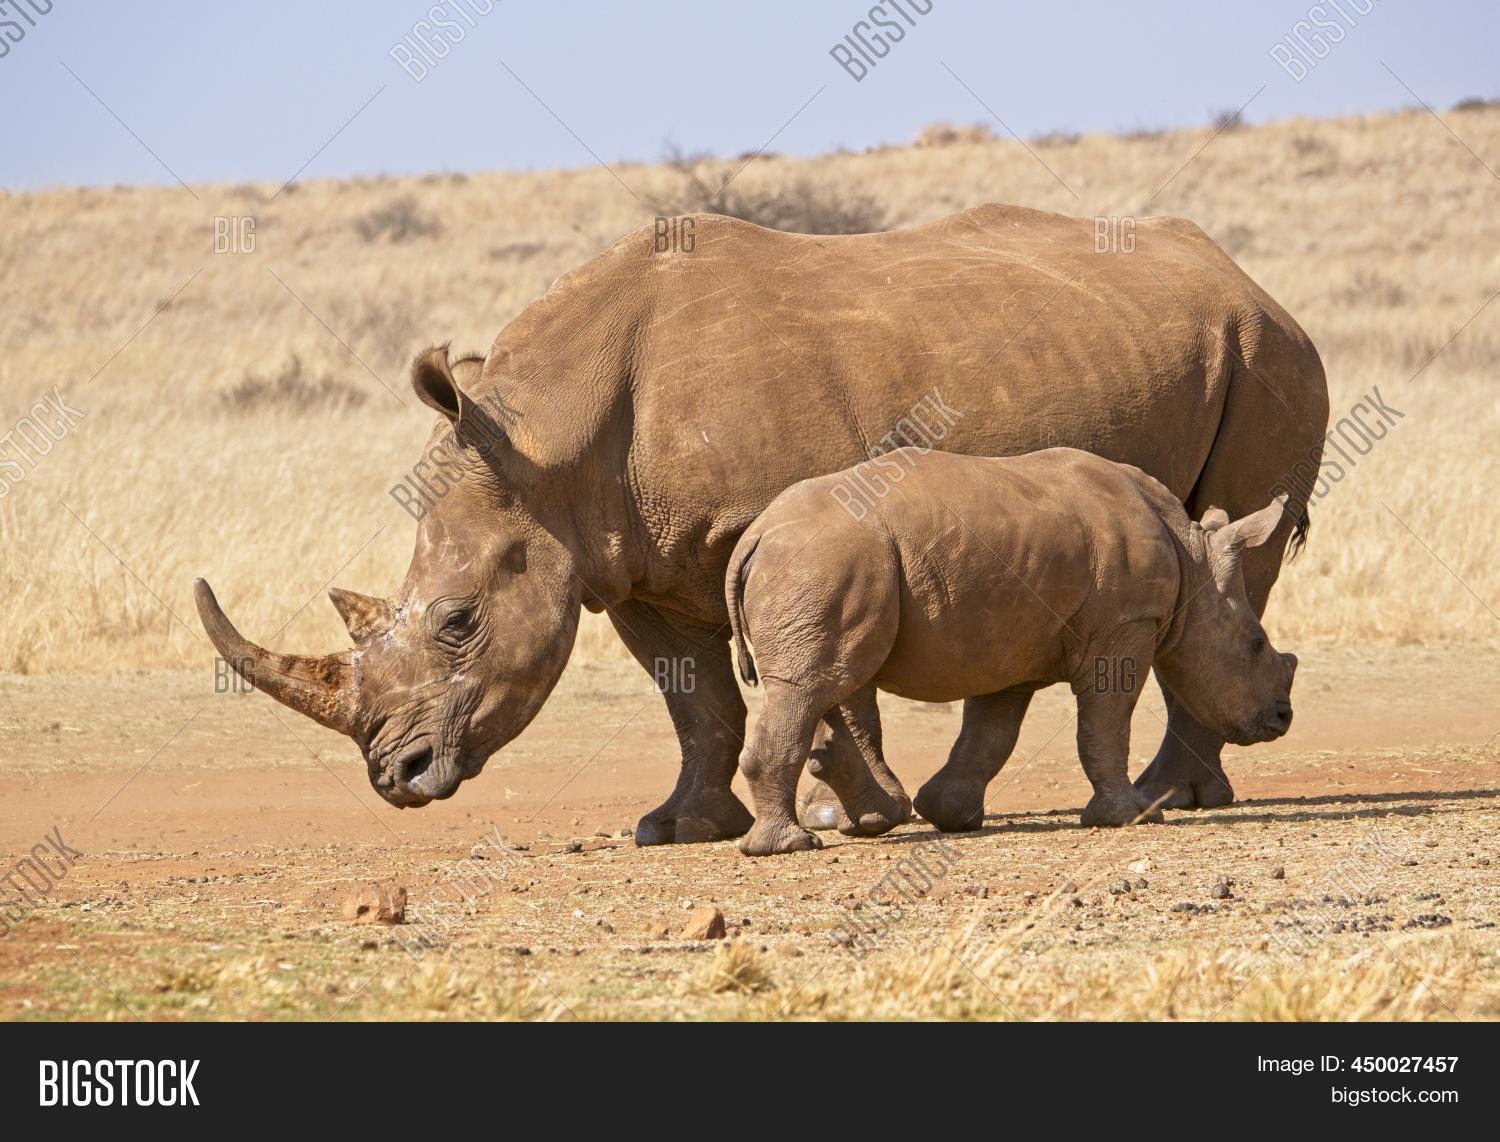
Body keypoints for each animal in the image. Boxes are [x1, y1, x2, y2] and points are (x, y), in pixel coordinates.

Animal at [725, 447, 1297, 855]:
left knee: (835, 681)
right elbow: (1106, 722)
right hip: (824, 561)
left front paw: (950, 812)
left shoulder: (1011, 639)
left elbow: (991, 732)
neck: (1194, 563)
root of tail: (757, 533)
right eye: (1256, 646)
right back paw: (789, 846)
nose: (1282, 718)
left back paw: (871, 820)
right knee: (810, 687)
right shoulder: (1126, 622)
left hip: (831, 565)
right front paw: (1133, 816)